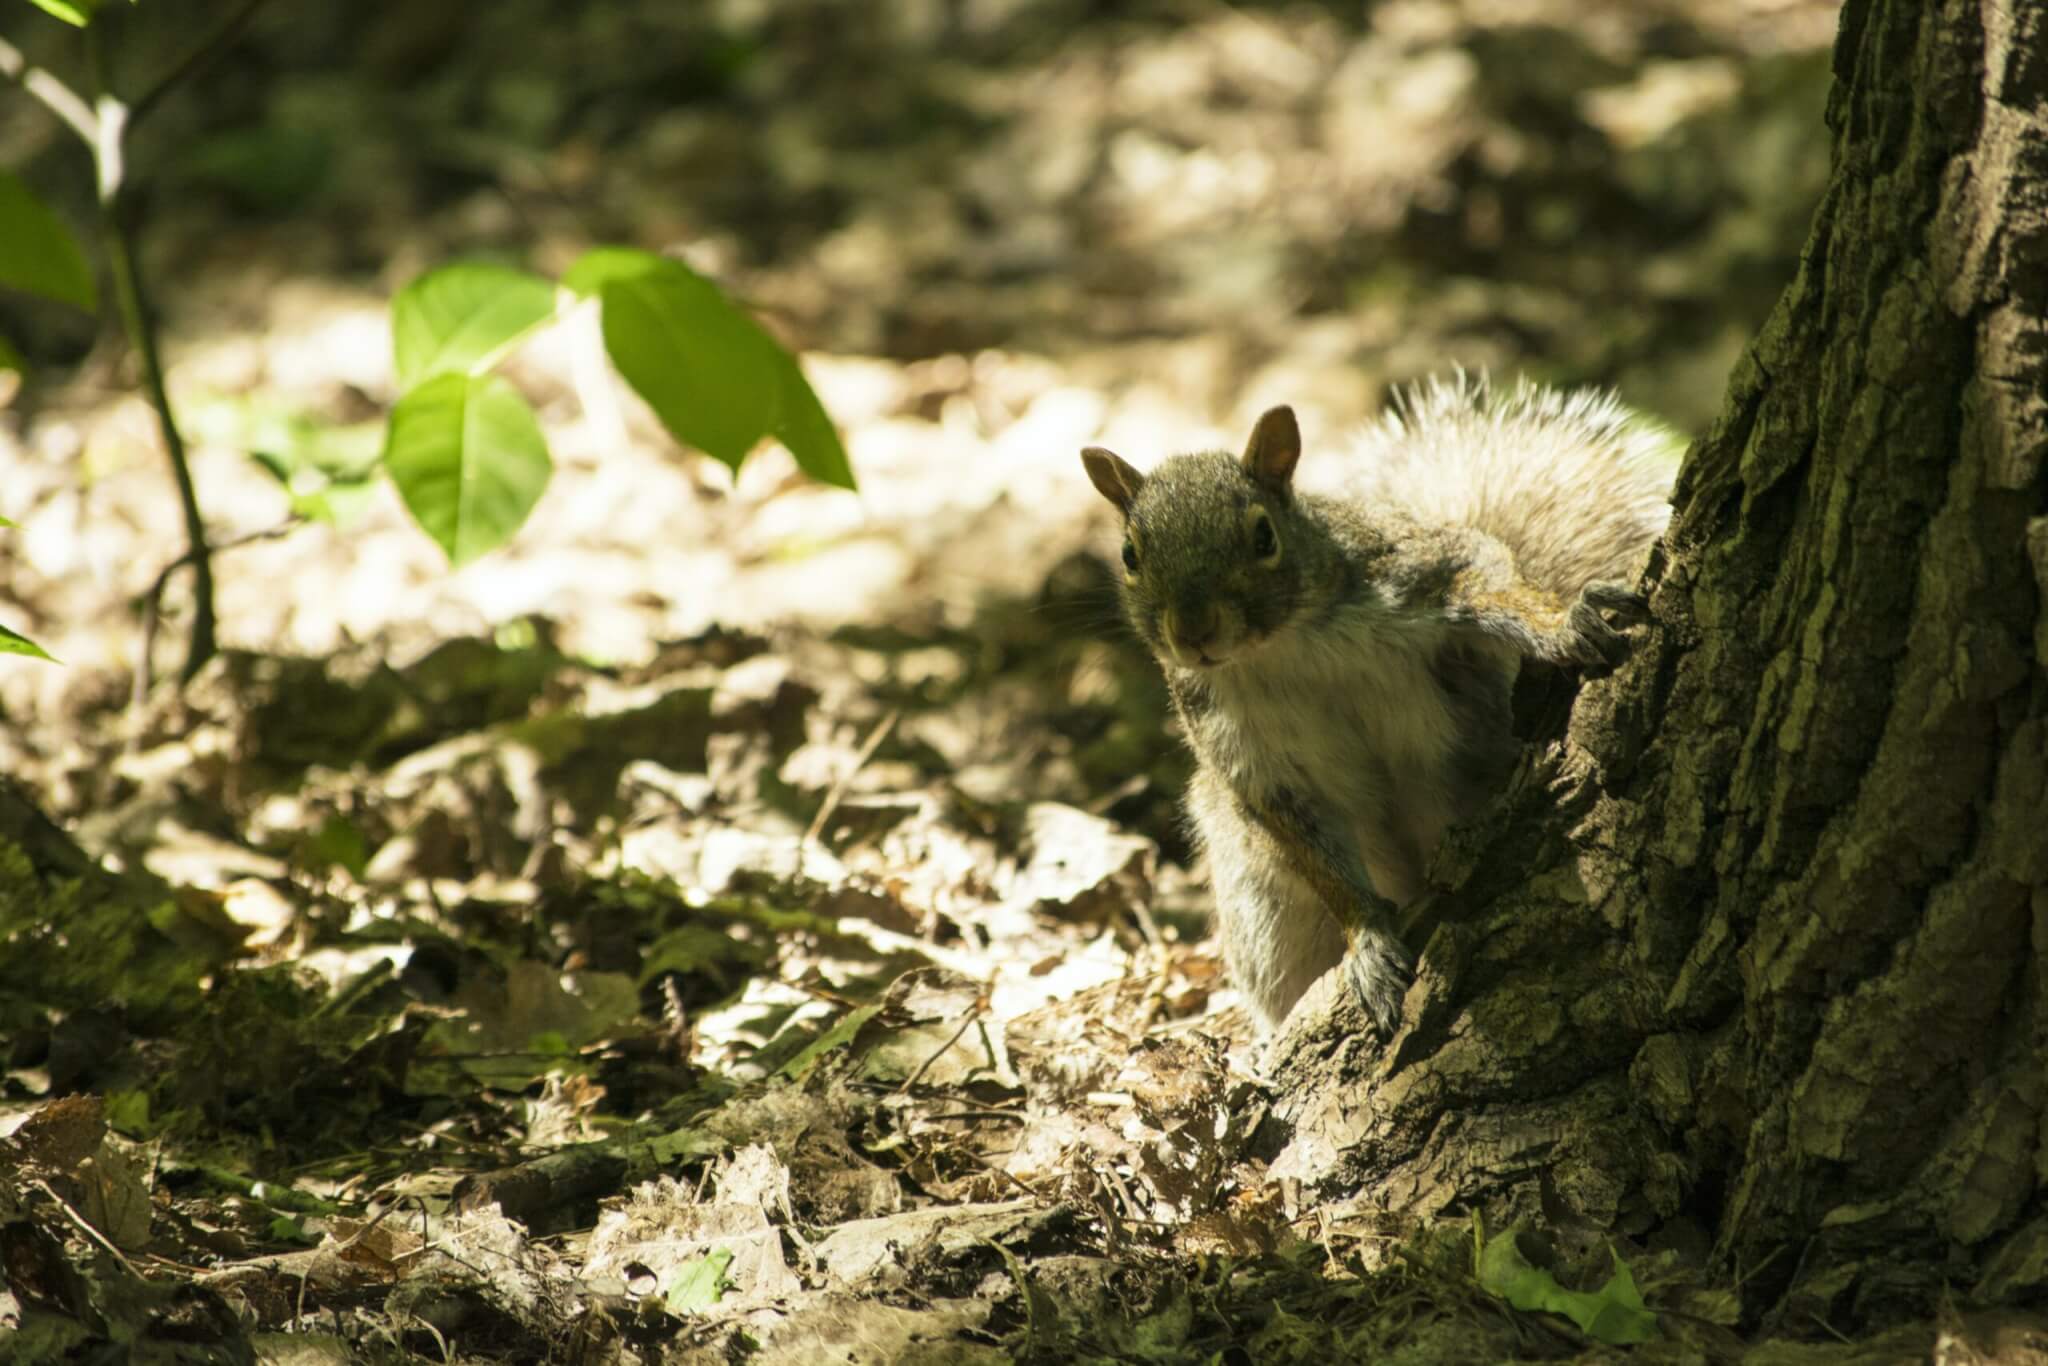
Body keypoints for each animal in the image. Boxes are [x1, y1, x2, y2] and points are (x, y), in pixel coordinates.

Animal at [1080, 374, 1675, 1038]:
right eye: (1130, 555)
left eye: (1264, 536)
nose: (1194, 632)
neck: (1277, 649)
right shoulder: (1252, 758)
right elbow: (1319, 857)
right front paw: (1367, 941)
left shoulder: (1413, 569)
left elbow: (1488, 582)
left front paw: (1564, 623)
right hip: (1265, 913)